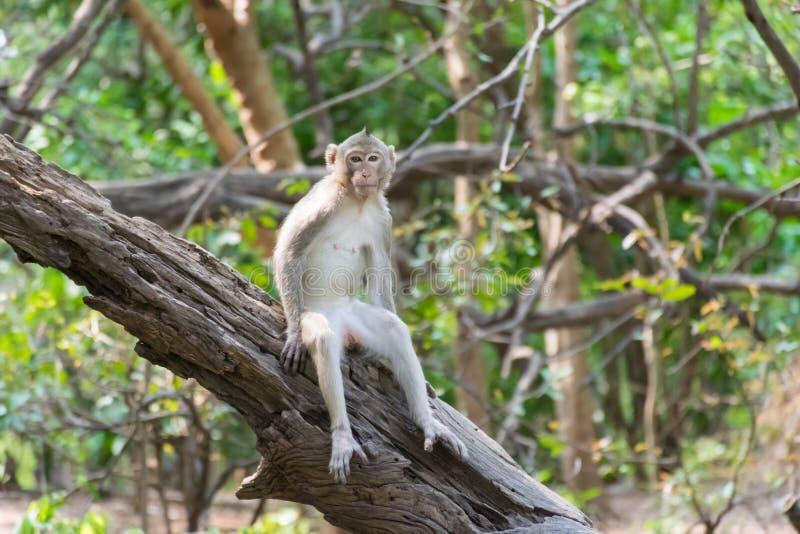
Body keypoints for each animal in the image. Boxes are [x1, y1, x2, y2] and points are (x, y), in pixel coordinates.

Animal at [273, 128, 467, 483]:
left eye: (373, 158)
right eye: (355, 158)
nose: (365, 172)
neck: (357, 201)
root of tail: (345, 330)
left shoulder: (382, 218)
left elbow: (378, 279)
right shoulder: (324, 203)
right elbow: (289, 254)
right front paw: (293, 336)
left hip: (354, 318)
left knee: (393, 329)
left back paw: (426, 421)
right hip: (316, 315)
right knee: (323, 338)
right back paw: (342, 435)